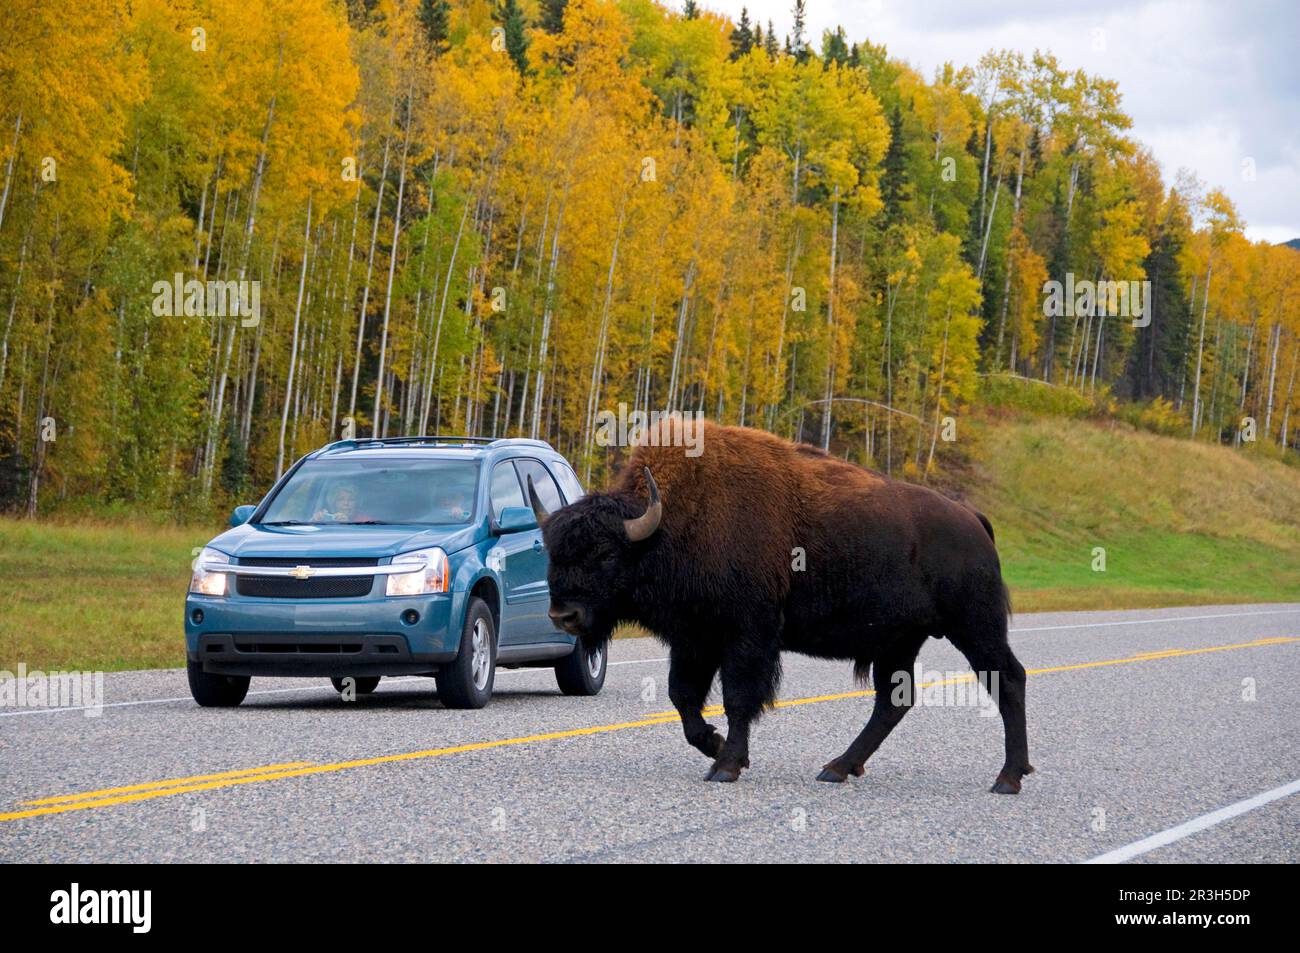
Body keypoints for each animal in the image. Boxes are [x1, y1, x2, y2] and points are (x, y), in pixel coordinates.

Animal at [527, 418, 1032, 792]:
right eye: (553, 551)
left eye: (606, 554)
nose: (563, 616)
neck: (669, 527)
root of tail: (974, 521)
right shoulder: (694, 638)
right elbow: (683, 697)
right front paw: (714, 746)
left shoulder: (747, 636)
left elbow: (737, 698)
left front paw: (726, 765)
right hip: (899, 642)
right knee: (892, 701)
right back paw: (838, 767)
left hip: (975, 627)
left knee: (1007, 678)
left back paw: (1008, 778)